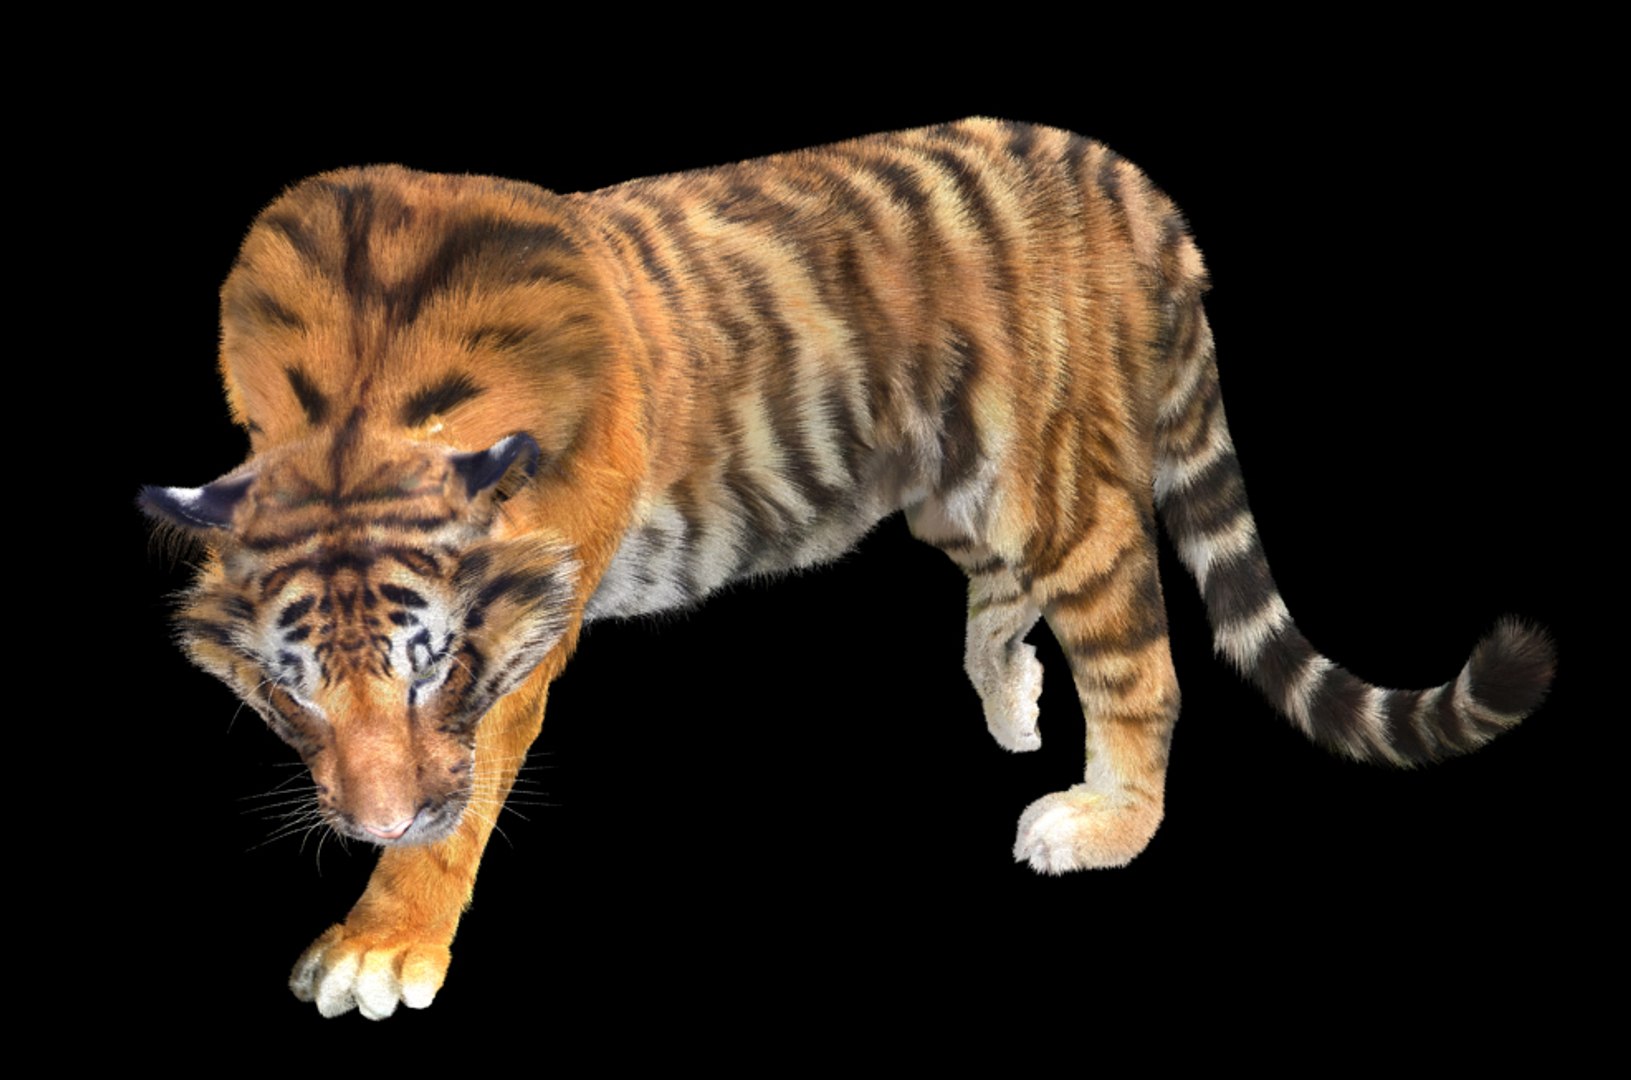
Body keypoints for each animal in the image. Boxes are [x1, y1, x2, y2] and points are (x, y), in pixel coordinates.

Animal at [140, 117, 1555, 1020]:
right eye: (292, 692)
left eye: (434, 670)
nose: (371, 825)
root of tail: (1129, 180)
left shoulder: (526, 629)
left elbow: (471, 782)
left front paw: (380, 949)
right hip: (953, 485)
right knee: (998, 592)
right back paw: (1007, 700)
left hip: (1057, 480)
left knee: (1135, 659)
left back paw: (1097, 821)